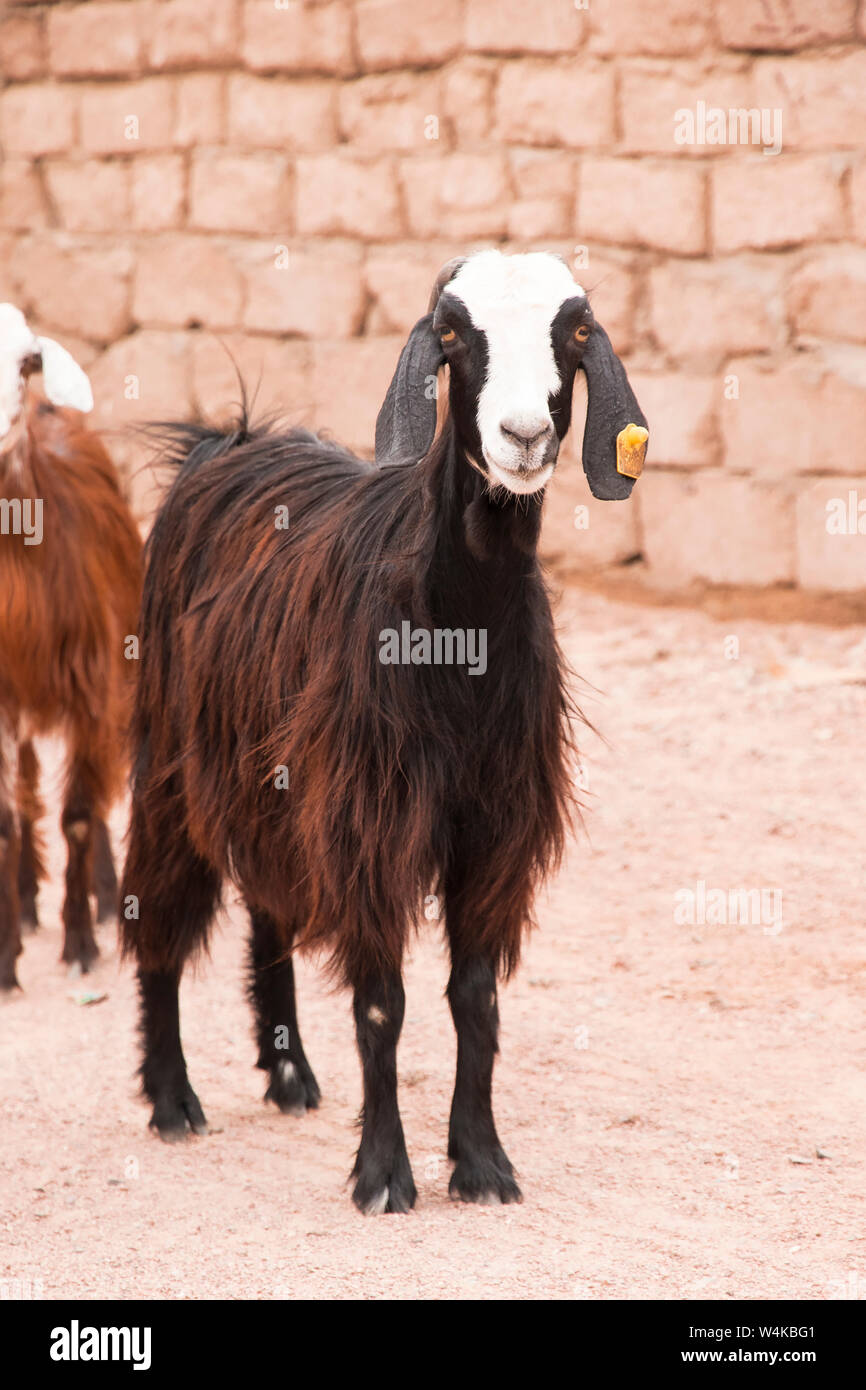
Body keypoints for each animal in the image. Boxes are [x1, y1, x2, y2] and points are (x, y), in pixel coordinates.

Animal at [121, 250, 648, 1212]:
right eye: (452, 334)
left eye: (577, 332)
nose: (522, 436)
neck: (457, 632)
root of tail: (231, 442)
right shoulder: (373, 814)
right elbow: (382, 1004)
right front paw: (383, 1176)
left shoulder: (492, 826)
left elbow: (475, 999)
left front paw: (482, 1164)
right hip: (175, 755)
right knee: (159, 912)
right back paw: (173, 1100)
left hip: (277, 780)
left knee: (270, 908)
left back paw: (289, 1077)